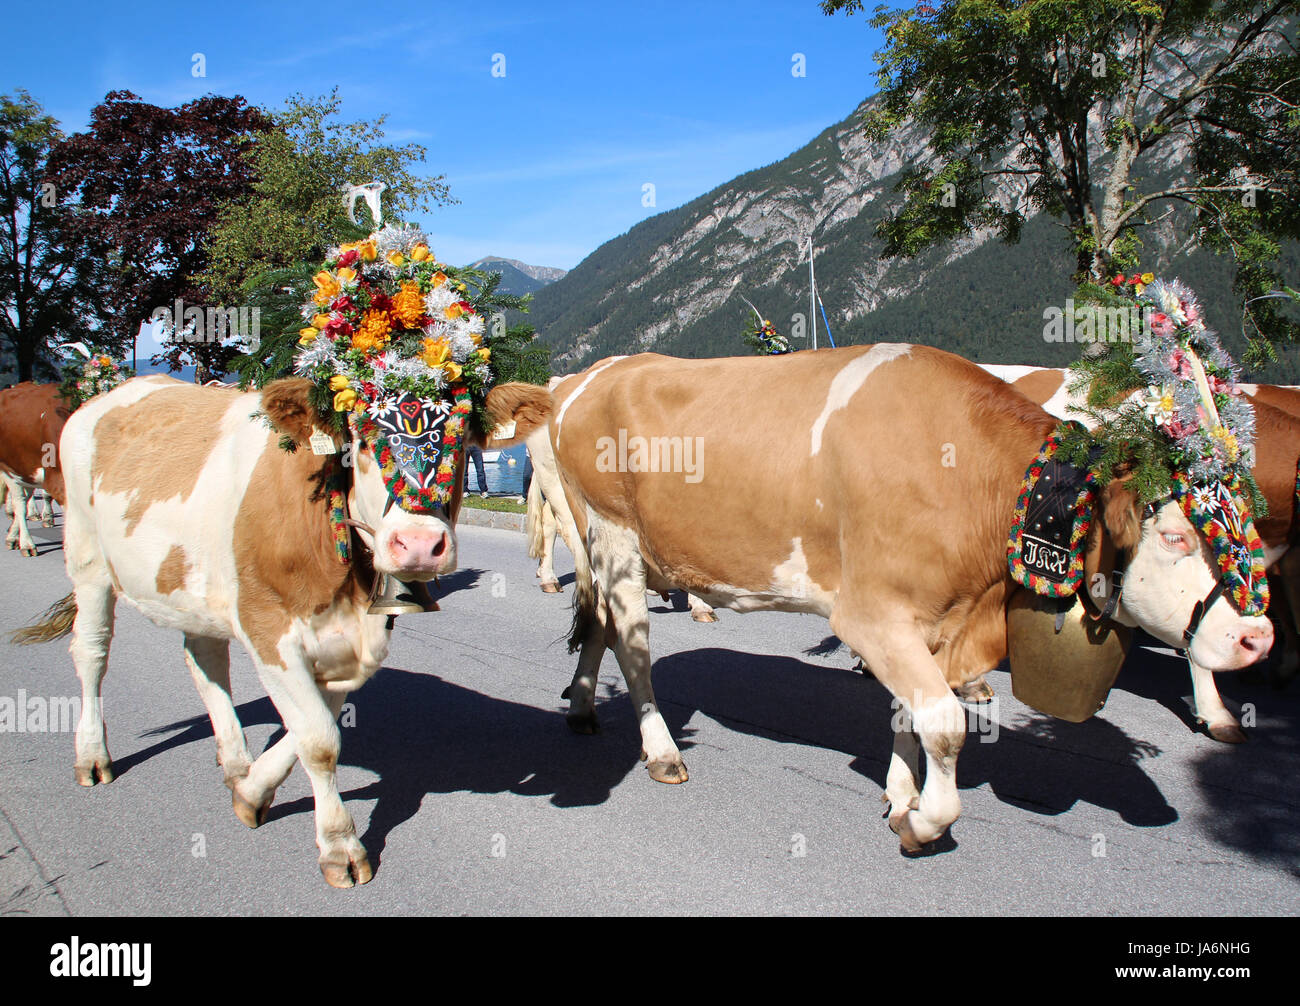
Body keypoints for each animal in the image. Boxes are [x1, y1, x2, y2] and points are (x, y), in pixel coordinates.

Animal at [0, 382, 71, 556]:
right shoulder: (57, 480)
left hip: (27, 472)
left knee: (26, 498)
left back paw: (13, 537)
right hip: (9, 469)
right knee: (19, 502)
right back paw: (26, 543)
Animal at [16, 374, 550, 886]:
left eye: (461, 440)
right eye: (360, 439)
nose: (418, 545)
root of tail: (115, 393)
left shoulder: (352, 648)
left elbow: (310, 726)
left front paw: (251, 790)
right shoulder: (267, 629)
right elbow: (318, 740)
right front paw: (339, 846)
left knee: (203, 658)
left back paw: (235, 761)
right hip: (86, 555)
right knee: (91, 653)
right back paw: (92, 756)